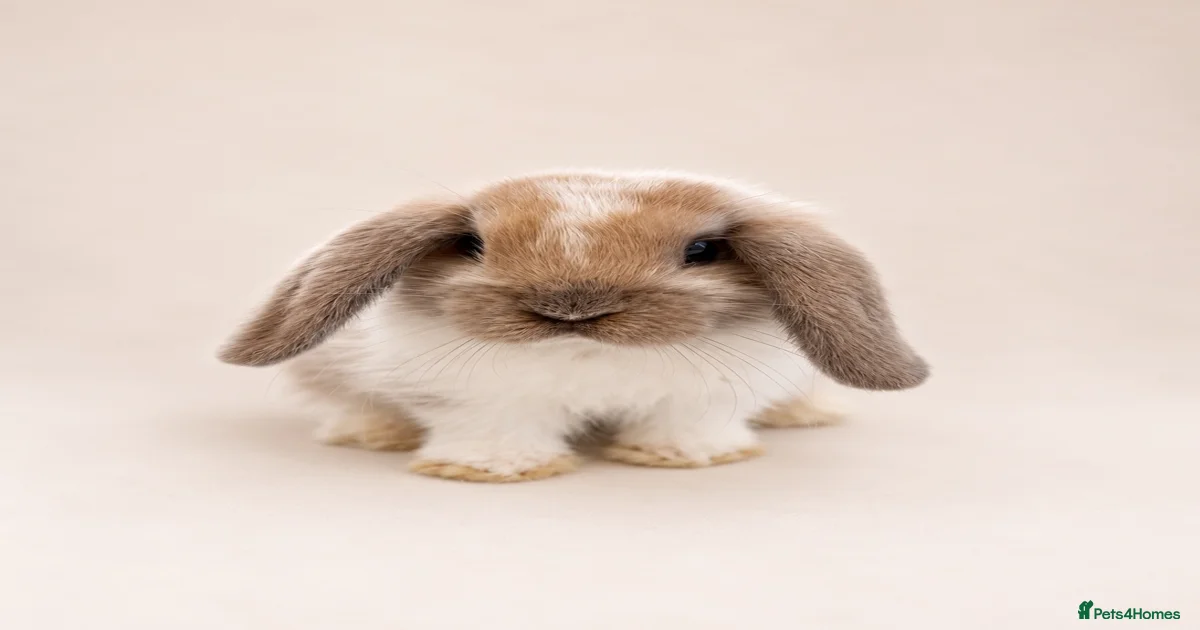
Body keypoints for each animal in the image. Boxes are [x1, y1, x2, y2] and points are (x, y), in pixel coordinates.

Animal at [218, 170, 928, 482]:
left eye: (702, 250)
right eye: (472, 245)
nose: (572, 306)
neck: (587, 359)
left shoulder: (702, 398)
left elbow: (687, 427)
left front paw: (681, 458)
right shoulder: (483, 403)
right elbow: (496, 433)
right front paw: (493, 470)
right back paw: (373, 435)